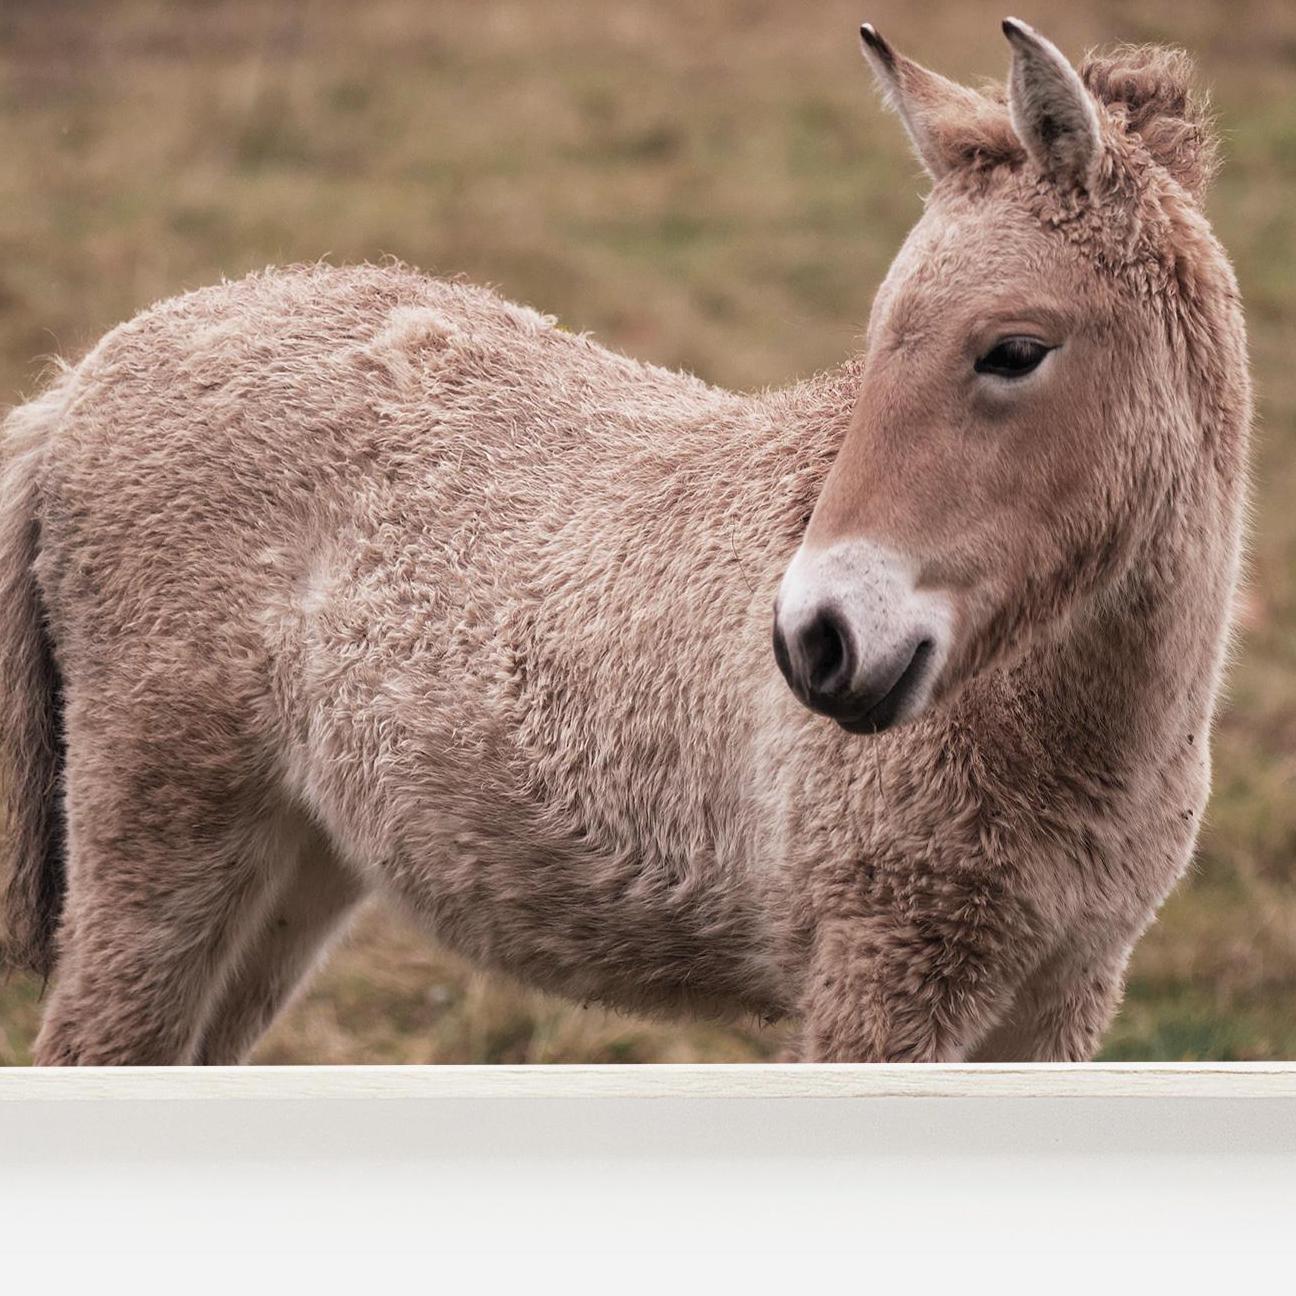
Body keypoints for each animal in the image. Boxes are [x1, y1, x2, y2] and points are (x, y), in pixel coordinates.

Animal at [0, 20, 1249, 1064]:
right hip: (164, 842)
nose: (818, 644)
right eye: (878, 338)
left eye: (1014, 351)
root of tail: (82, 383)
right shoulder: (883, 979)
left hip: (288, 875)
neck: (1070, 737)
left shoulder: (1058, 996)